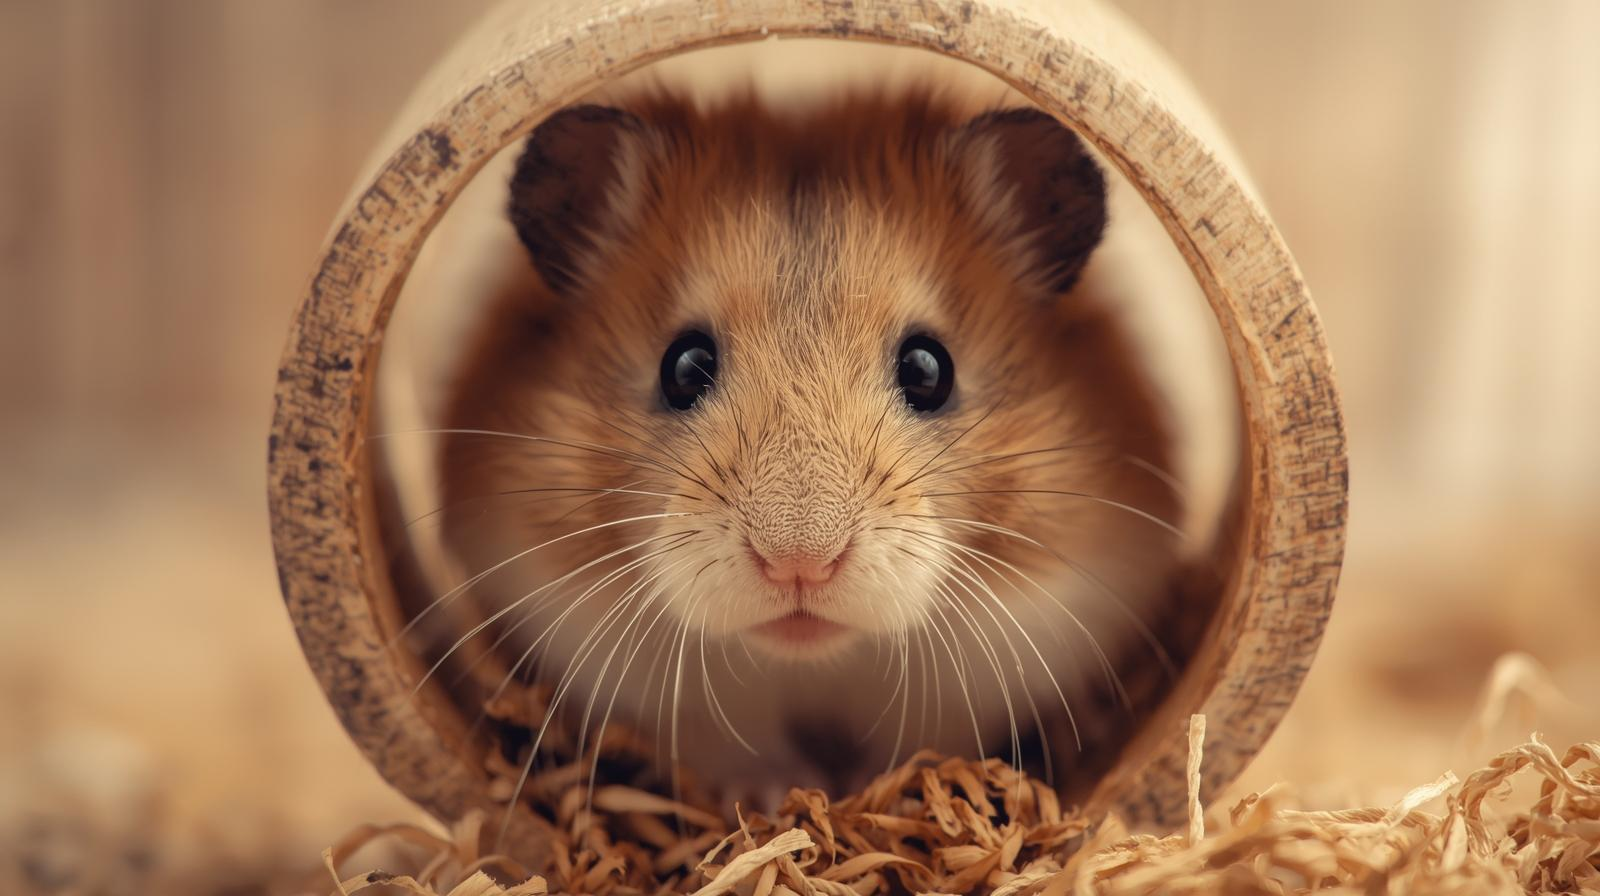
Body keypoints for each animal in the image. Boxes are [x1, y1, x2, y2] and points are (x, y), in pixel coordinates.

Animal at [435, 89, 1182, 801]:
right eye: (683, 367)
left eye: (928, 369)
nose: (800, 563)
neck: (814, 661)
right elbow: (729, 744)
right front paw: (778, 794)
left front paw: (868, 785)